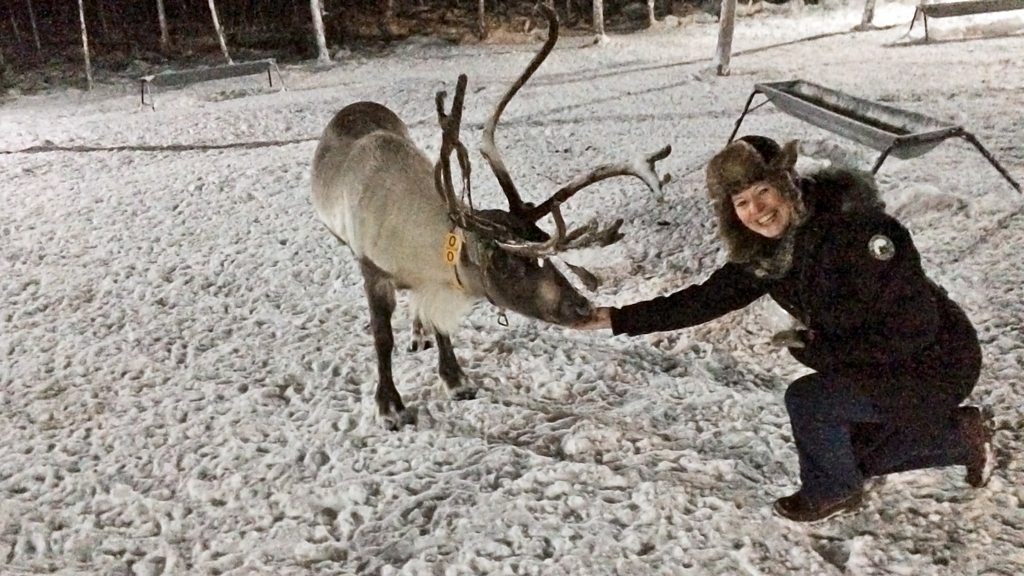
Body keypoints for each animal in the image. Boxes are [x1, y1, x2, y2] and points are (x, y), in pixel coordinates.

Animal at [311, 6, 671, 429]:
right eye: (508, 263)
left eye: (541, 246)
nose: (582, 306)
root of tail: (356, 104)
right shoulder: (373, 270)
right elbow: (383, 339)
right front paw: (390, 406)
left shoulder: (435, 280)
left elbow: (440, 325)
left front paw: (455, 380)